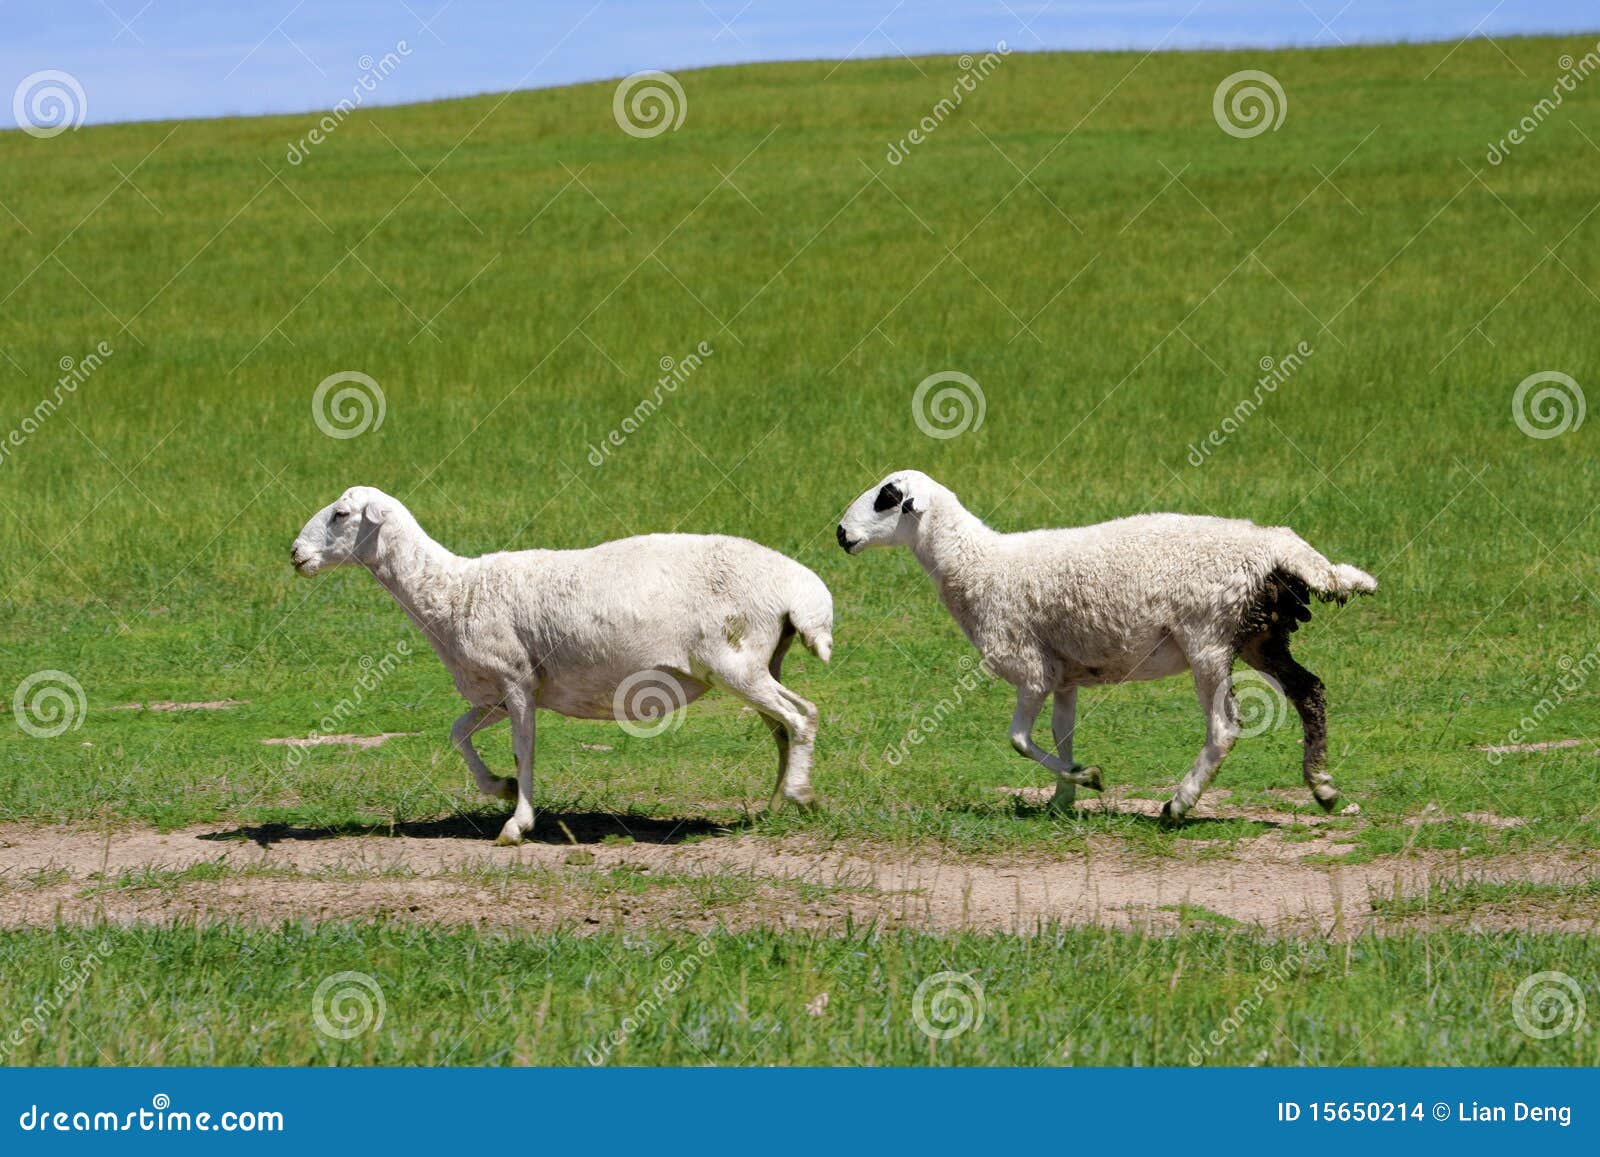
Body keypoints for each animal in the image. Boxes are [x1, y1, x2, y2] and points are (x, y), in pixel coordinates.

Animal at [290, 486, 833, 845]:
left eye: (341, 514)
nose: (295, 554)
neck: (453, 592)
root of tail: (801, 588)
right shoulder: (495, 691)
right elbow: (458, 733)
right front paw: (499, 788)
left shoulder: (515, 680)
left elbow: (523, 750)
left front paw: (517, 823)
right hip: (761, 664)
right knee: (782, 729)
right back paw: (773, 806)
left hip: (736, 664)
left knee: (802, 715)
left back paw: (800, 793)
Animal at [837, 470, 1376, 824]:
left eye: (886, 498)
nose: (842, 534)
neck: (978, 564)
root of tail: (1281, 549)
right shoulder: (1063, 676)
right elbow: (1061, 734)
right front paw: (1063, 798)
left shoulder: (1029, 668)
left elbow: (1018, 740)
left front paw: (1089, 777)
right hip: (1260, 636)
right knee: (1310, 691)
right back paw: (1325, 790)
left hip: (1208, 637)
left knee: (1225, 727)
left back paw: (1178, 805)